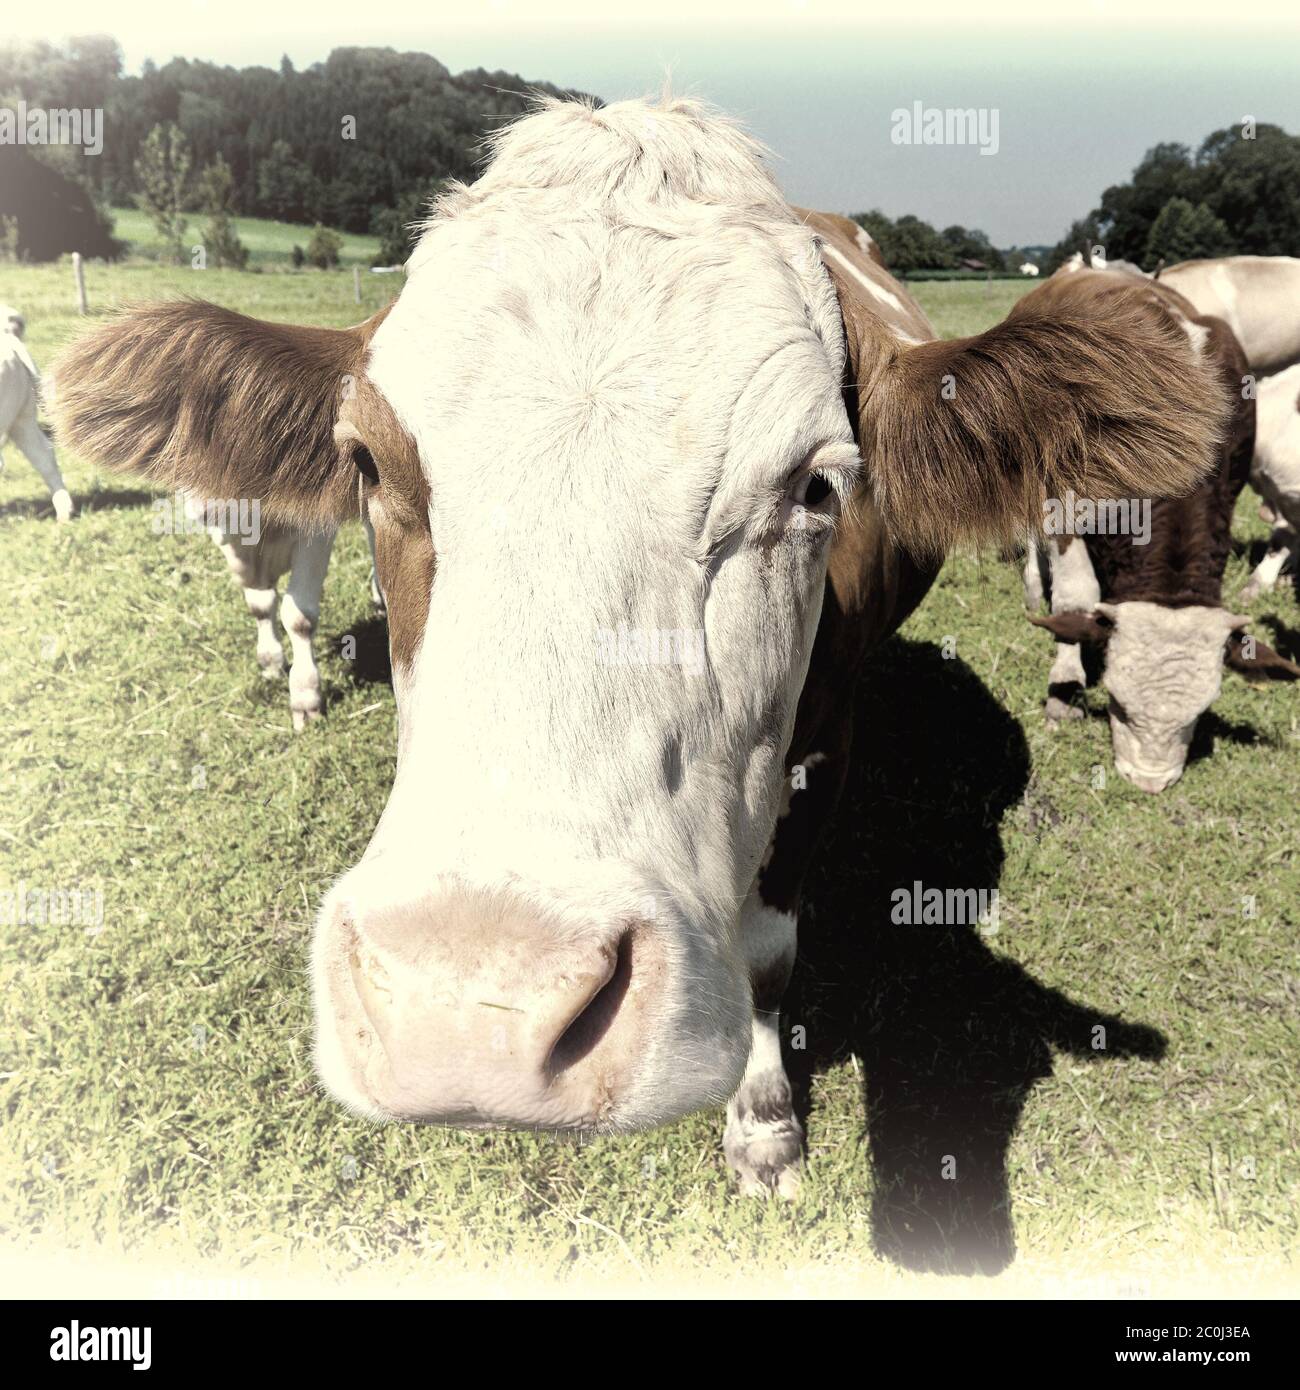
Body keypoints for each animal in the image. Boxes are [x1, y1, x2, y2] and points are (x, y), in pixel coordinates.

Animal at [51, 98, 1225, 1195]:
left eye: (816, 485)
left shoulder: (822, 748)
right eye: (369, 464)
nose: (470, 1010)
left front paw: (763, 1123)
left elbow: (767, 954)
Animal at [1026, 266, 1299, 793]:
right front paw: (1064, 686)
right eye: (1115, 700)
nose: (1150, 781)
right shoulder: (1062, 498)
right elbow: (1074, 598)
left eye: (1201, 710)